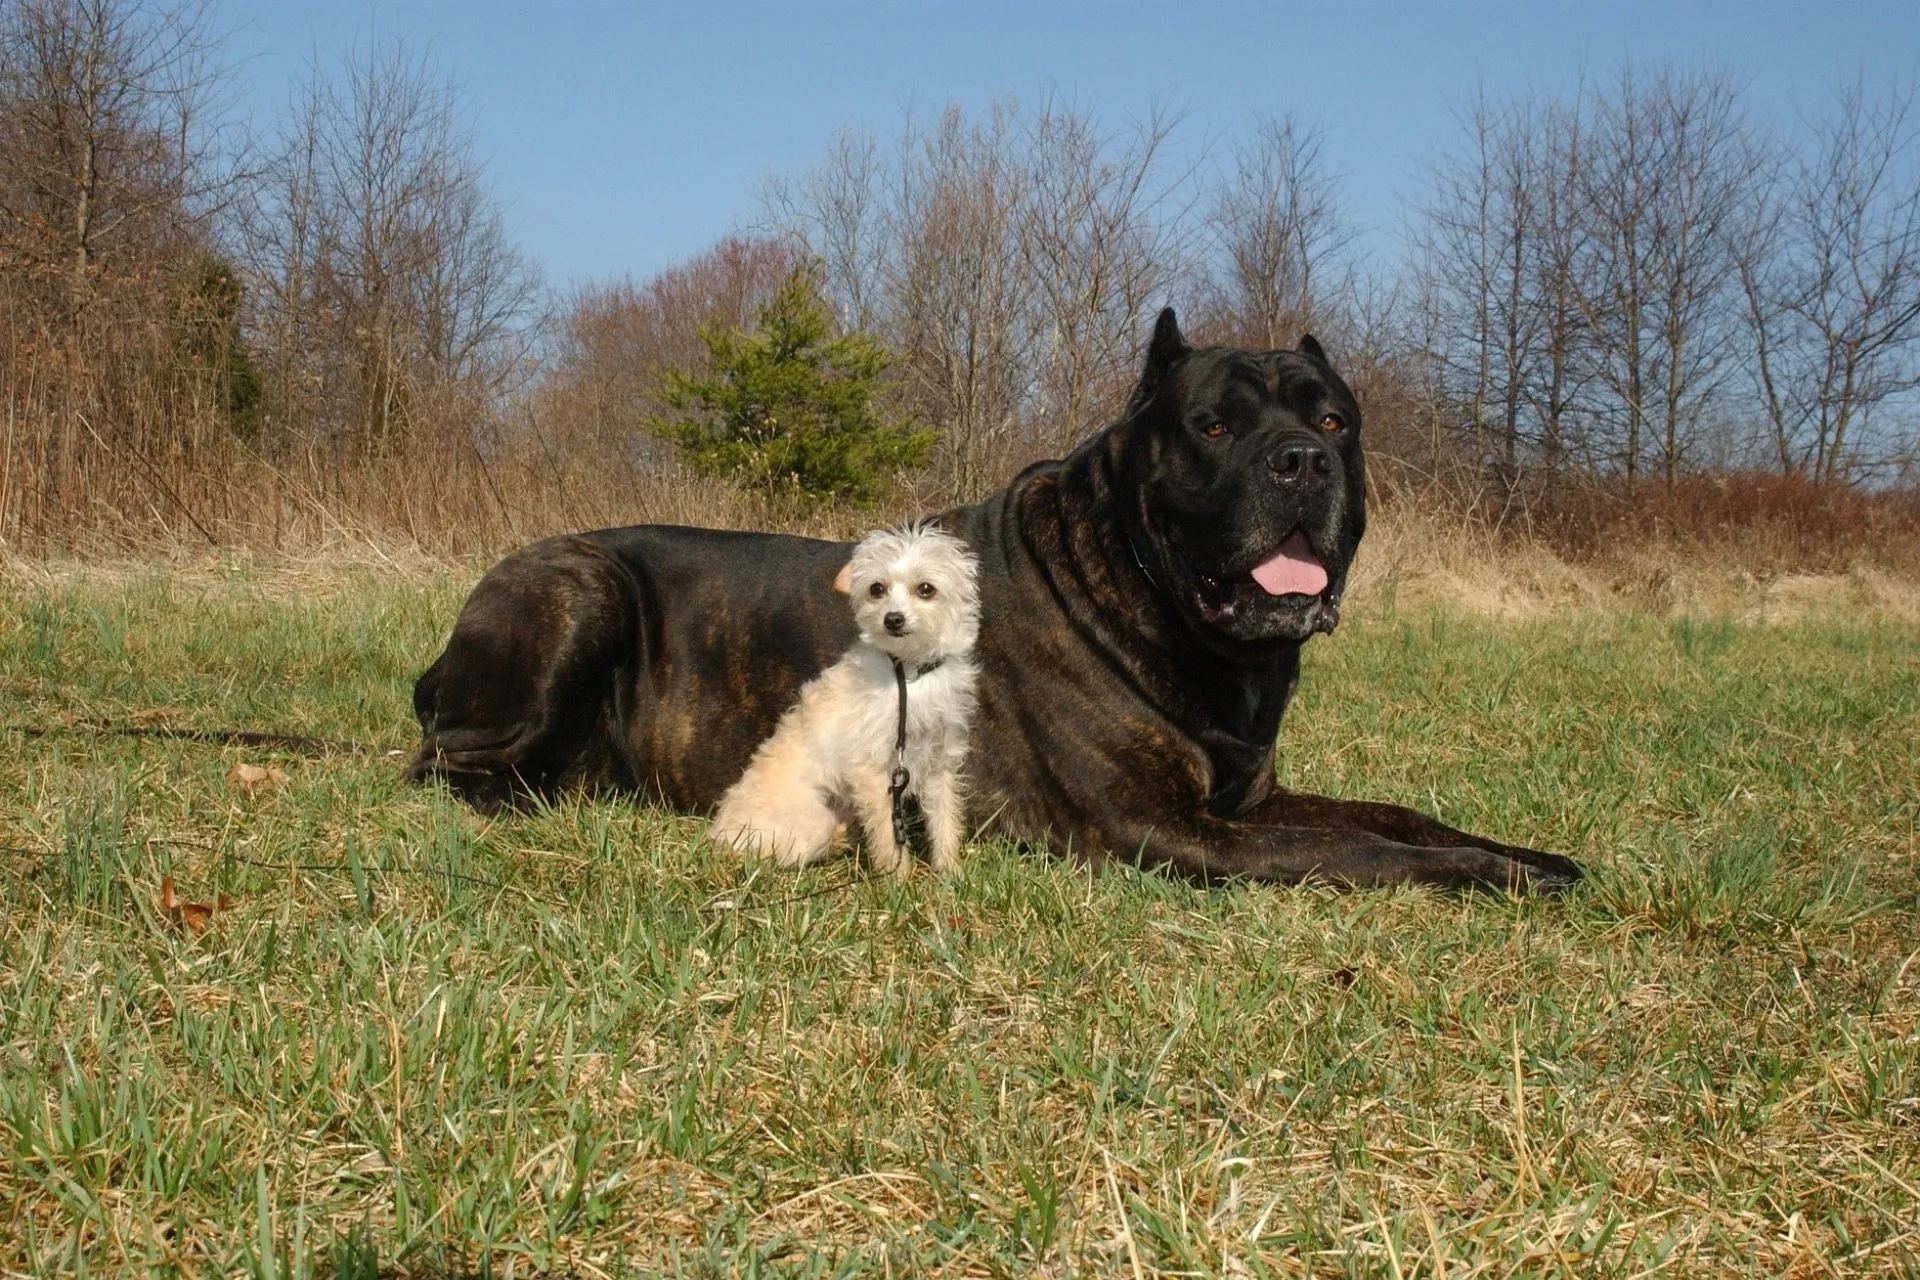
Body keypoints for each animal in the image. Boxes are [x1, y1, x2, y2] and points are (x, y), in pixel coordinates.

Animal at [710, 525, 983, 875]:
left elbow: (945, 820)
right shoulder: (872, 769)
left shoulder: (940, 761)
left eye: (926, 589)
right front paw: (899, 879)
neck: (909, 673)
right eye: (876, 589)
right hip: (813, 822)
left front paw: (951, 873)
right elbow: (887, 833)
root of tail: (718, 833)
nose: (892, 619)